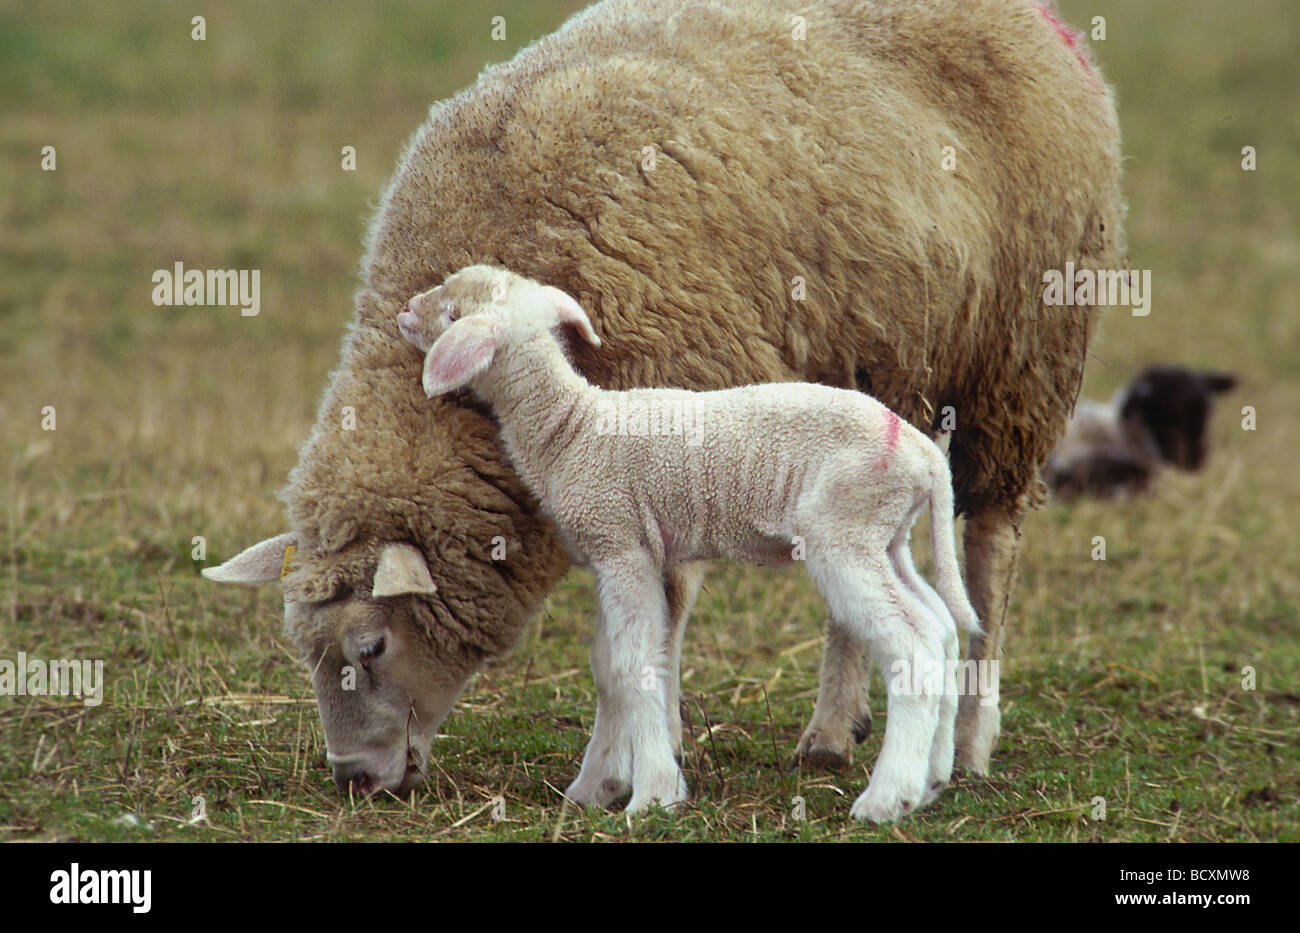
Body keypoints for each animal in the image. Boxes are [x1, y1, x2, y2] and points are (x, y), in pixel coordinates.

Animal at [395, 265, 982, 819]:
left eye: (451, 314)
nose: (404, 311)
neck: (572, 431)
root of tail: (925, 459)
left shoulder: (621, 543)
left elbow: (632, 667)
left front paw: (653, 793)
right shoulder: (630, 556)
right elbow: (612, 666)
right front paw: (594, 787)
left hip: (845, 532)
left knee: (913, 645)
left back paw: (888, 798)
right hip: (888, 538)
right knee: (940, 629)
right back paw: (932, 779)